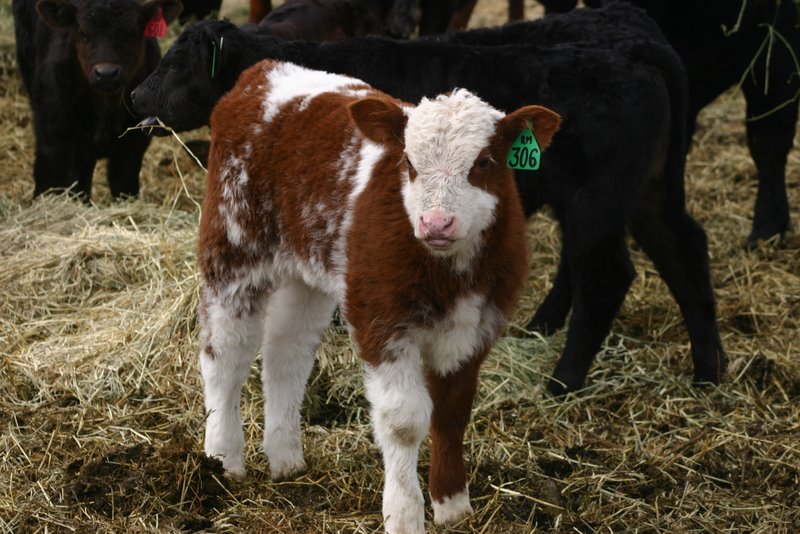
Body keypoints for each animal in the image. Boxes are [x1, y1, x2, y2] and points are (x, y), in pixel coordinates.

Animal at [13, 0, 182, 199]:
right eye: (83, 33)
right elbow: (50, 174)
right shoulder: (53, 126)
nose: (106, 73)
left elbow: (124, 179)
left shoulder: (135, 137)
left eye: (132, 32)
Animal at [132, 4, 727, 395]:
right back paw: (708, 370)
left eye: (177, 63)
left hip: (595, 205)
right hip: (646, 195)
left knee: (606, 278)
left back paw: (562, 381)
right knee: (684, 252)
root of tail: (638, 56)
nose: (135, 93)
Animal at [199, 59, 561, 532]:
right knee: (225, 354)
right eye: (408, 162)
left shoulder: (477, 326)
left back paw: (286, 458)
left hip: (306, 272)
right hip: (234, 248)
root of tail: (264, 73)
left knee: (286, 352)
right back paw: (222, 459)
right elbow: (405, 421)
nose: (436, 223)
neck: (451, 275)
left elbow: (452, 411)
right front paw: (405, 514)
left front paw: (453, 506)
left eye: (484, 161)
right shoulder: (381, 319)